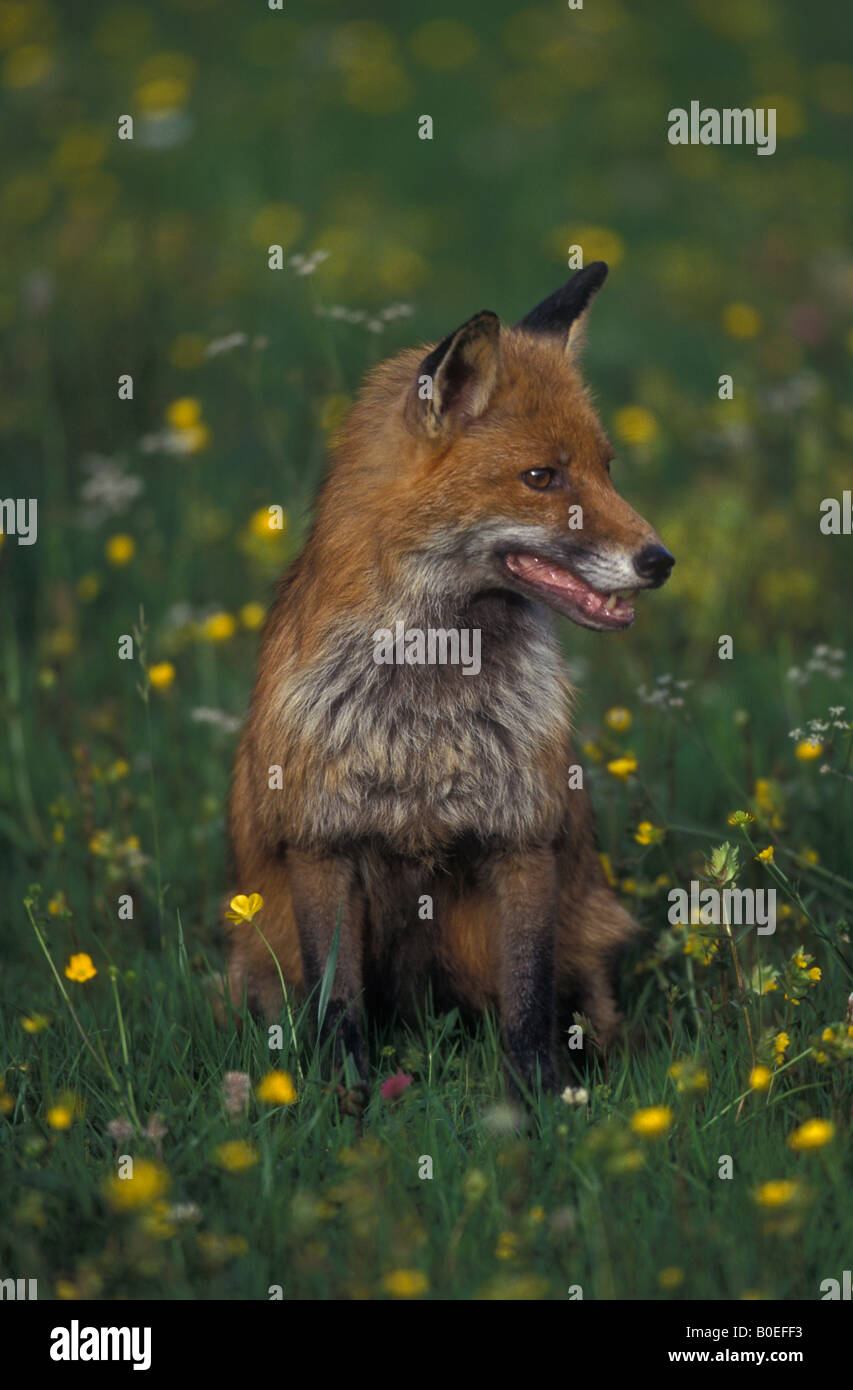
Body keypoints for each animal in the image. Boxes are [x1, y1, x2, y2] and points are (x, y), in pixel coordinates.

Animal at [225, 261, 674, 1091]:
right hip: (256, 952)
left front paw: (540, 1105)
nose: (659, 561)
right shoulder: (321, 844)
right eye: (541, 476)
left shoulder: (522, 839)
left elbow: (528, 1005)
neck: (429, 711)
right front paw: (346, 1103)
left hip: (586, 927)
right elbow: (338, 1008)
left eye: (606, 468)